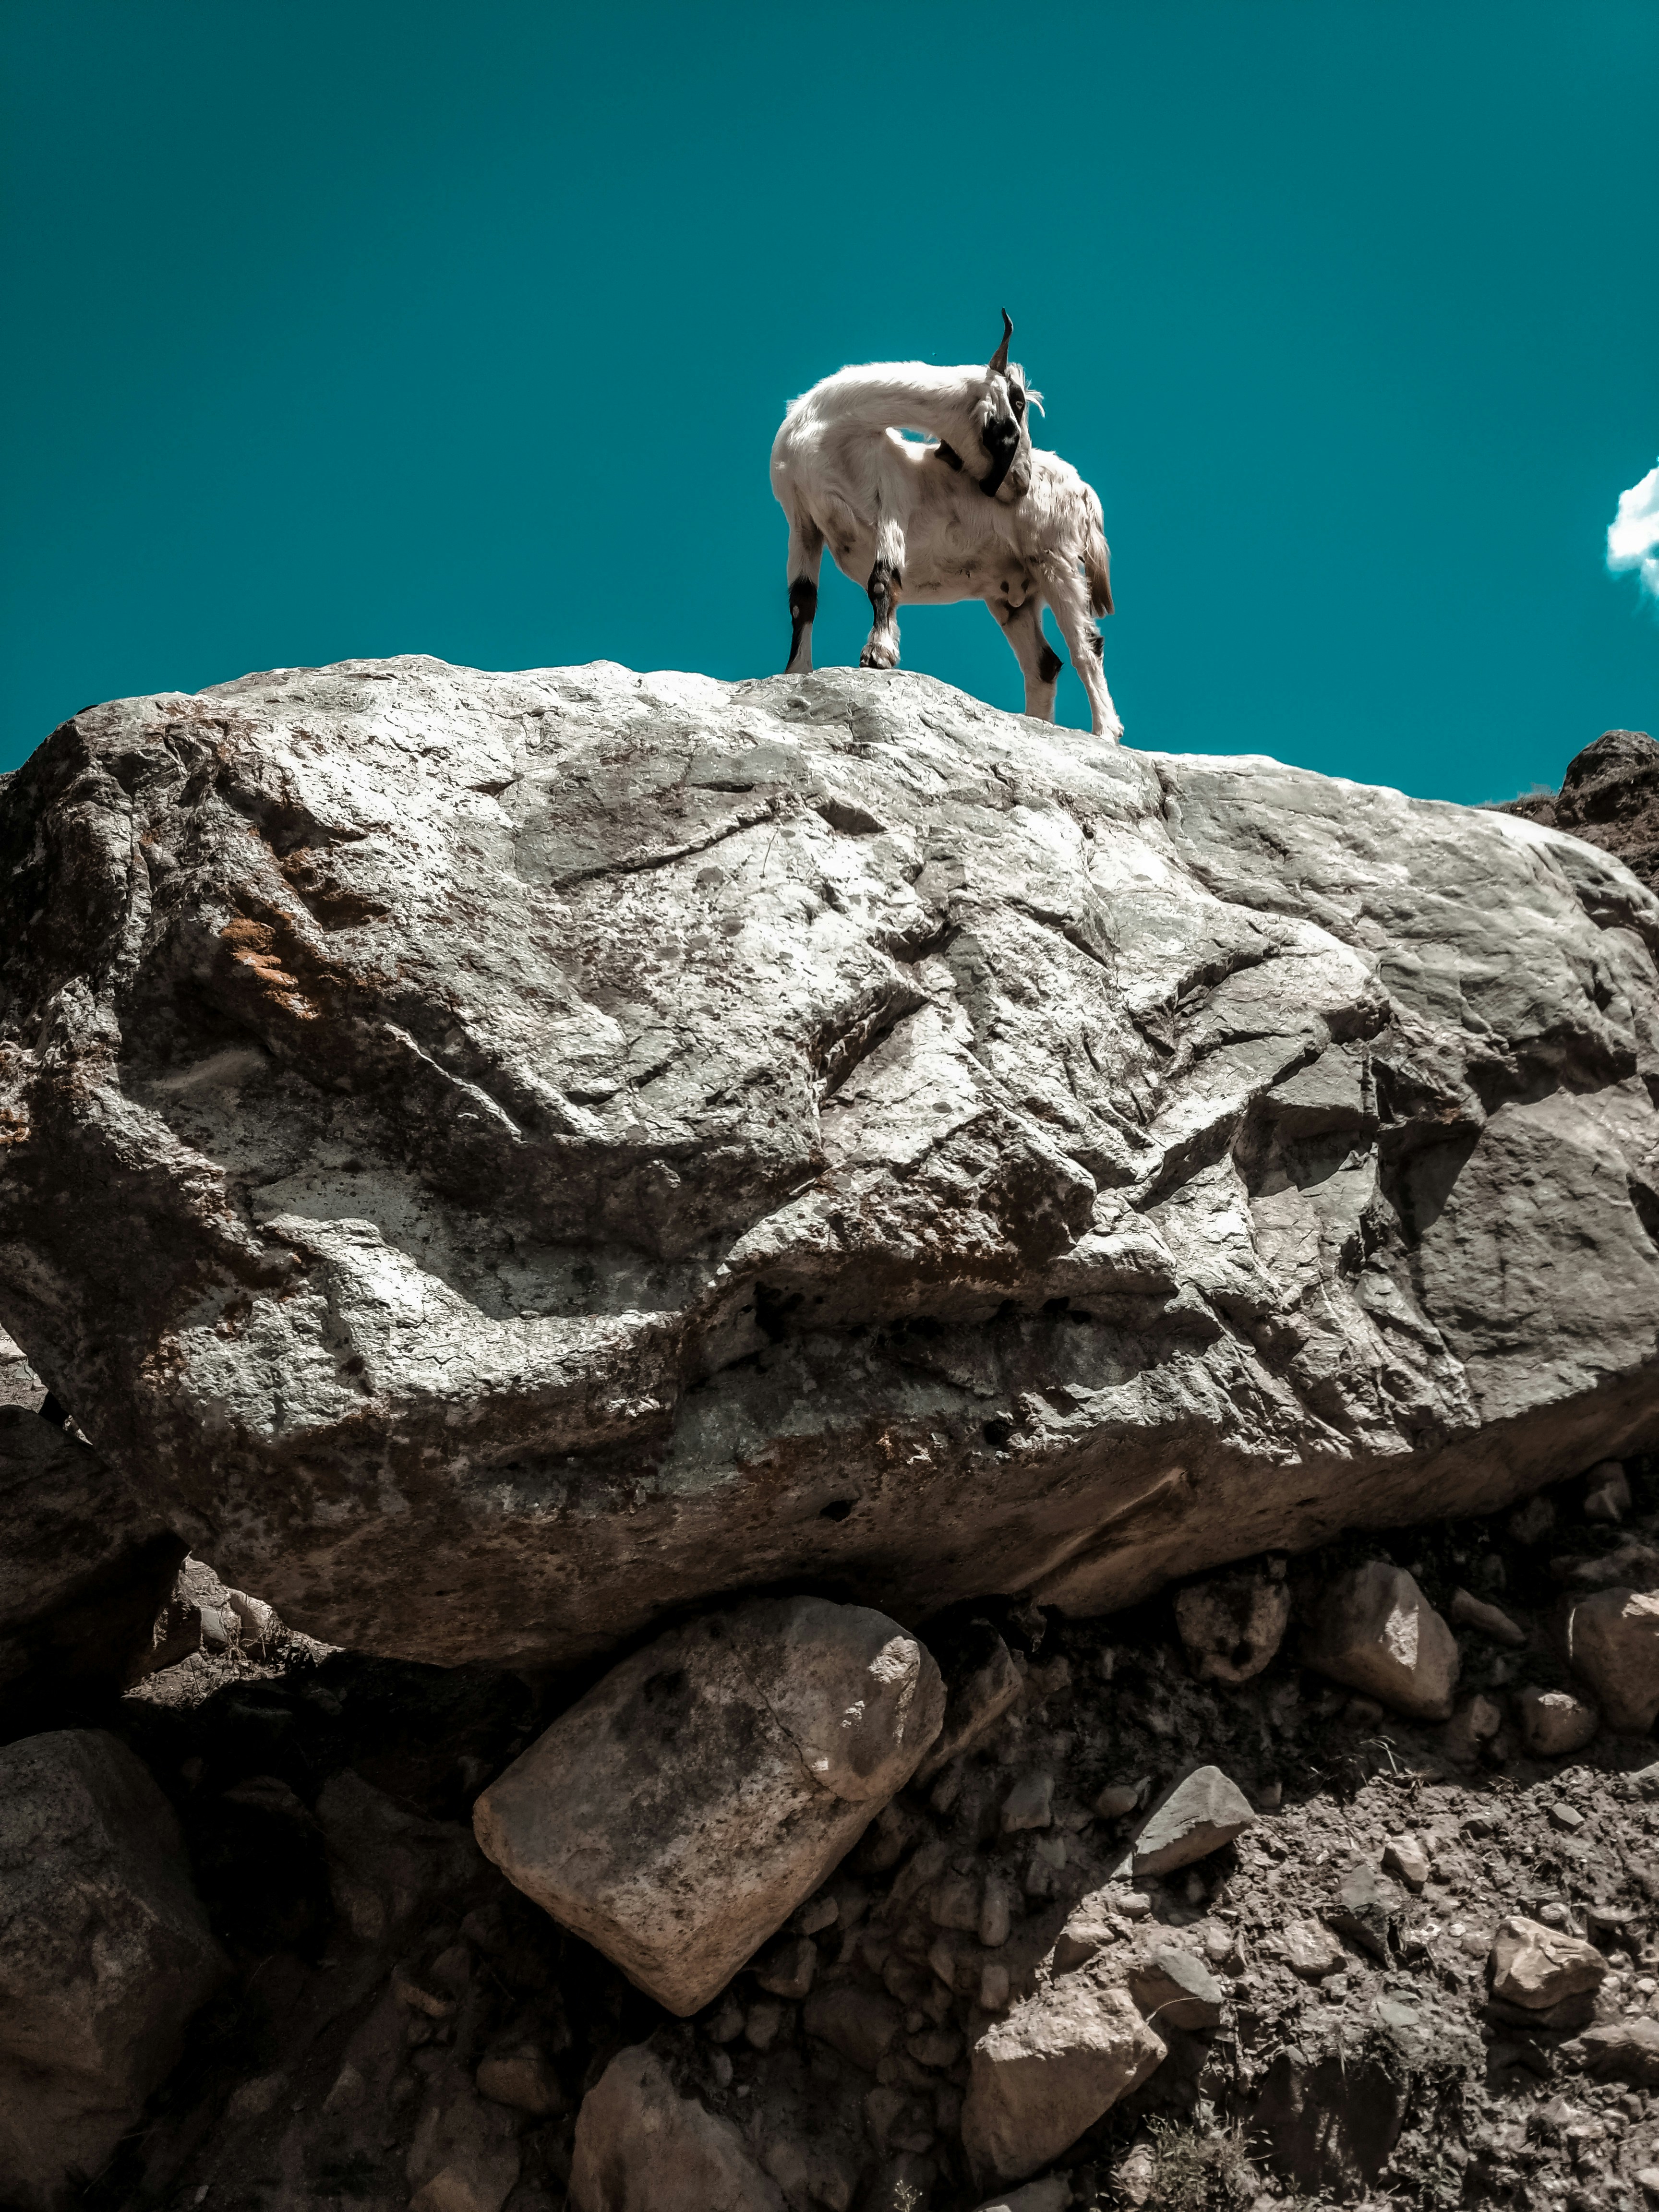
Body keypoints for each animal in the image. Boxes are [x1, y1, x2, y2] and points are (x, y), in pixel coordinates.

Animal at [770, 314, 1121, 740]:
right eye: (1018, 403)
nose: (1022, 482)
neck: (828, 435)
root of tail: (1085, 492)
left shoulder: (890, 504)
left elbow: (882, 581)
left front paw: (877, 656)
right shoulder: (801, 519)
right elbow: (802, 600)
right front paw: (795, 672)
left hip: (1056, 560)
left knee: (1086, 644)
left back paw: (1105, 733)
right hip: (1012, 594)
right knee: (1044, 663)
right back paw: (1037, 723)